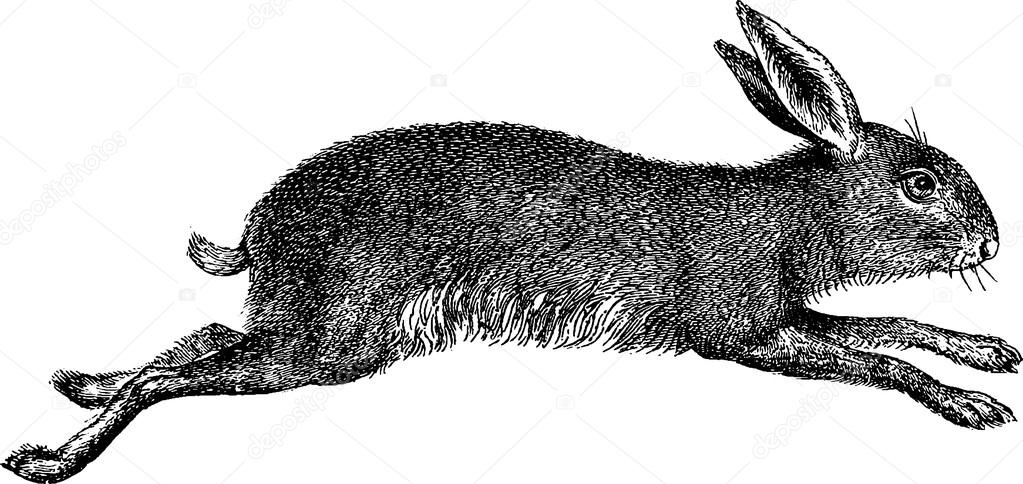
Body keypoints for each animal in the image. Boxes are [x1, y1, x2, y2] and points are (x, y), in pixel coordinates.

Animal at [5, 1, 1018, 482]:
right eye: (920, 184)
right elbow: (879, 360)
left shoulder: (786, 313)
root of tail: (257, 228)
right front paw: (972, 408)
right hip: (332, 344)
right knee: (179, 377)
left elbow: (891, 330)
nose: (987, 242)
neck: (790, 210)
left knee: (202, 341)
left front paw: (991, 356)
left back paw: (75, 385)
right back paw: (49, 461)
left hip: (306, 329)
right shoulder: (741, 331)